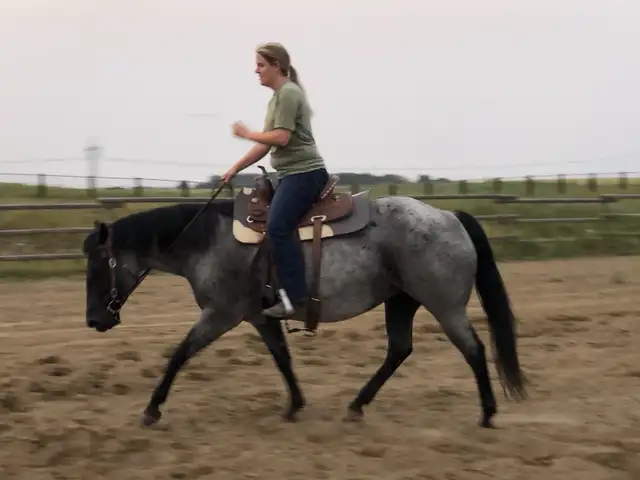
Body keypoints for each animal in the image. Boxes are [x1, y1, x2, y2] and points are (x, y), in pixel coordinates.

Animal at [81, 181, 527, 429]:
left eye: (99, 264)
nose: (93, 319)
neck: (208, 241)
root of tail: (449, 216)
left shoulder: (220, 314)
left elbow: (179, 353)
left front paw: (152, 409)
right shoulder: (258, 316)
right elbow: (282, 357)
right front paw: (295, 405)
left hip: (444, 305)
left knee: (473, 349)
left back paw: (487, 413)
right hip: (401, 301)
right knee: (400, 350)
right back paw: (356, 406)